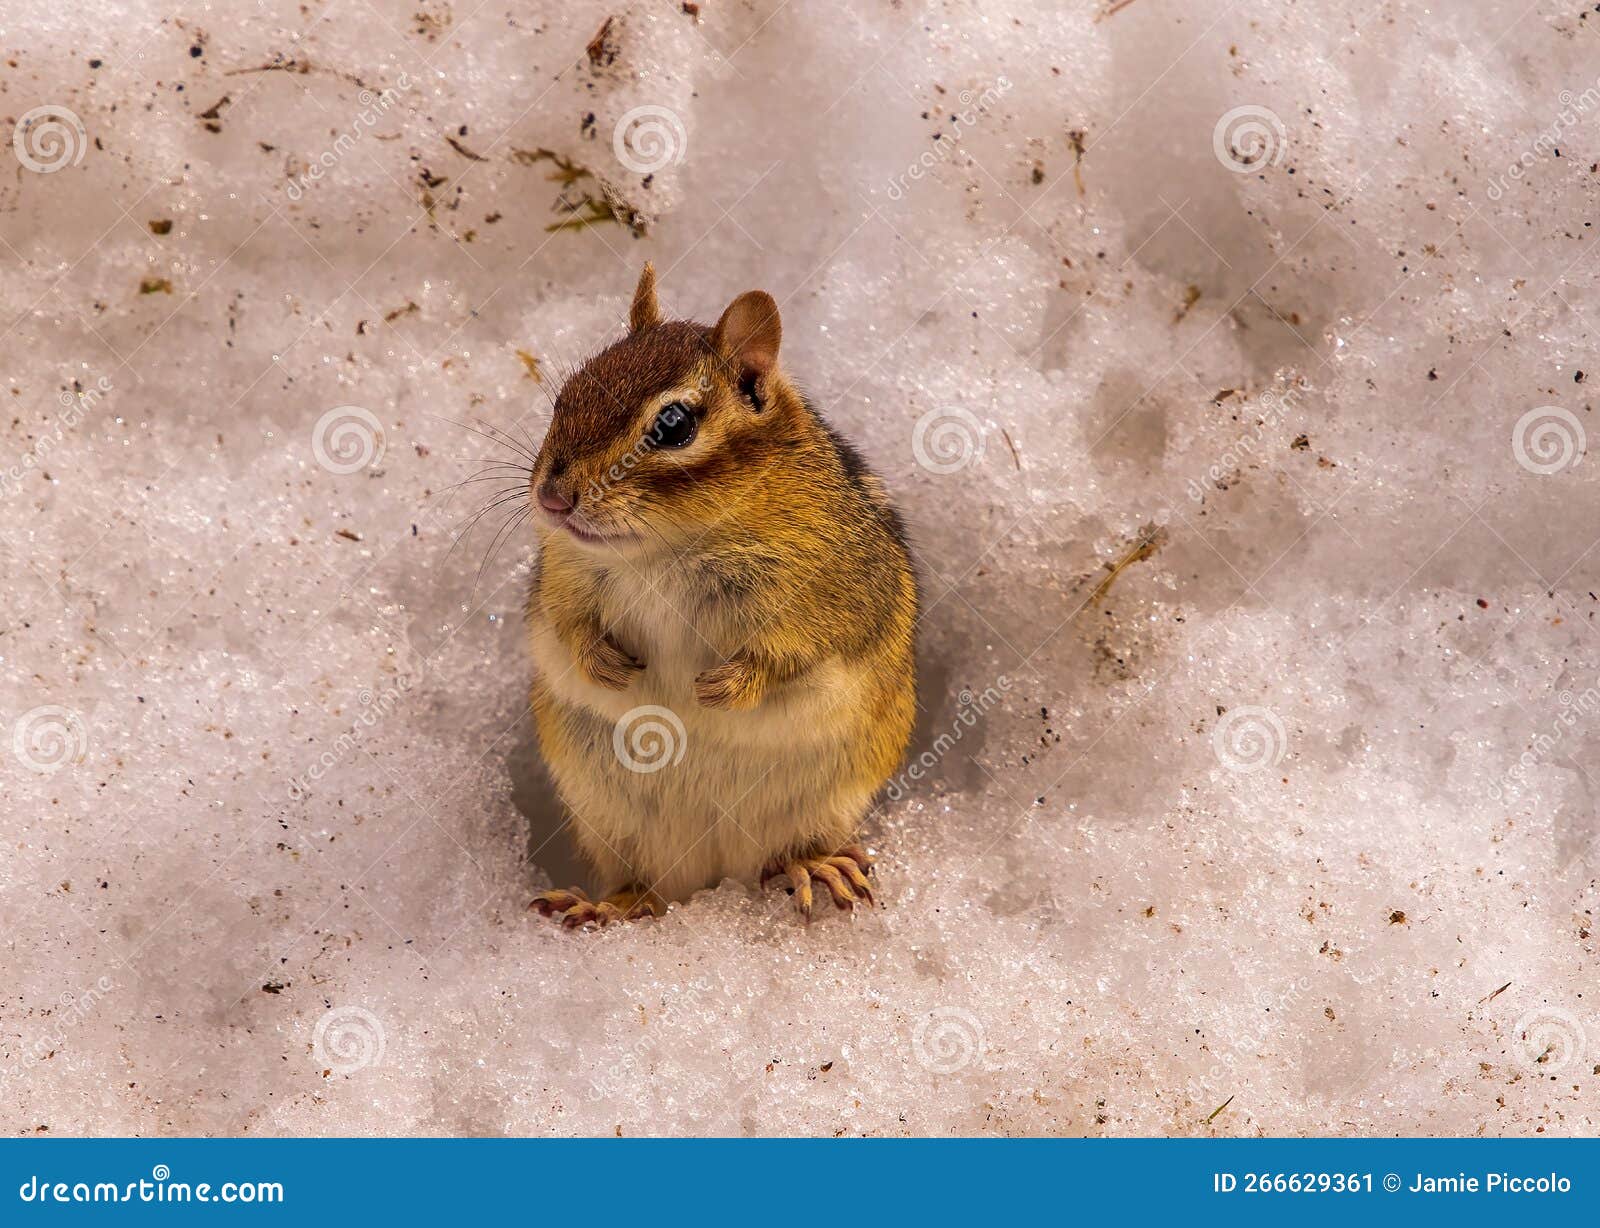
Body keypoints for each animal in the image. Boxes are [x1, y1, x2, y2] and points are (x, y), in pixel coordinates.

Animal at [526, 264, 917, 927]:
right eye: (566, 396)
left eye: (673, 425)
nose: (552, 497)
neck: (662, 553)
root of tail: (712, 881)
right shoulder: (563, 577)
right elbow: (563, 625)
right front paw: (600, 661)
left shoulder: (833, 597)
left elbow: (795, 653)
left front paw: (724, 686)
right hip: (611, 819)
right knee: (642, 883)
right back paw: (609, 905)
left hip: (825, 801)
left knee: (791, 850)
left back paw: (812, 866)